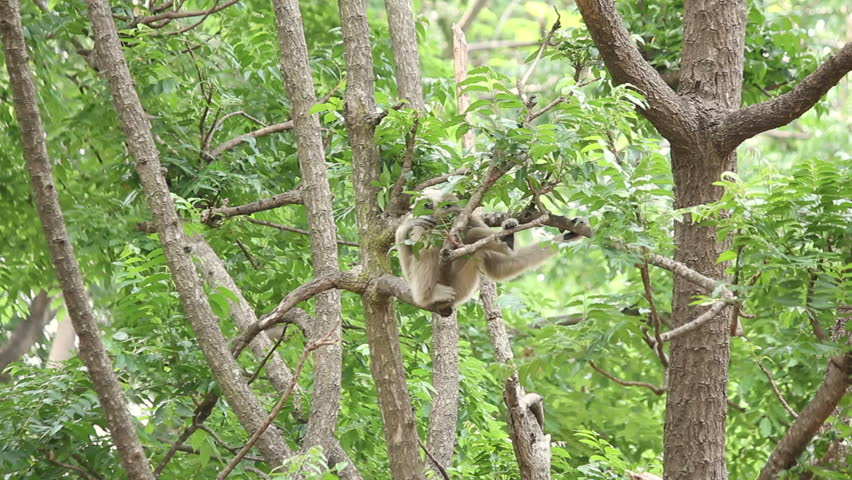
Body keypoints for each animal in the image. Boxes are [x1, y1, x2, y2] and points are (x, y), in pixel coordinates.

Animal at [395, 189, 584, 310]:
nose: (424, 206)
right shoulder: (422, 225)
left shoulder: (468, 218)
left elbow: (499, 267)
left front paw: (569, 235)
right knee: (430, 247)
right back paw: (428, 296)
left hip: (461, 288)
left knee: (476, 240)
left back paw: (508, 241)